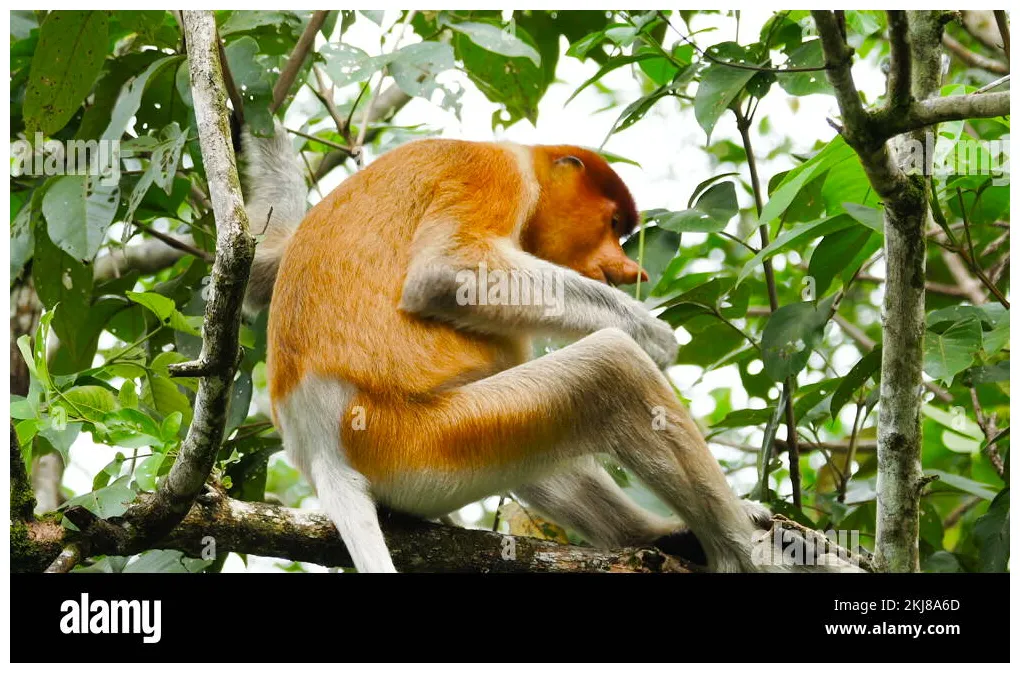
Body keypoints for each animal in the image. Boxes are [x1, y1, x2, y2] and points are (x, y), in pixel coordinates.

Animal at [238, 123, 857, 574]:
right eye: (613, 222)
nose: (627, 268)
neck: (513, 154)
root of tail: (323, 450)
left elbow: (262, 270)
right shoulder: (492, 174)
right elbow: (448, 273)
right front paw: (653, 334)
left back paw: (663, 537)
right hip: (418, 440)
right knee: (612, 370)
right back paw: (746, 555)